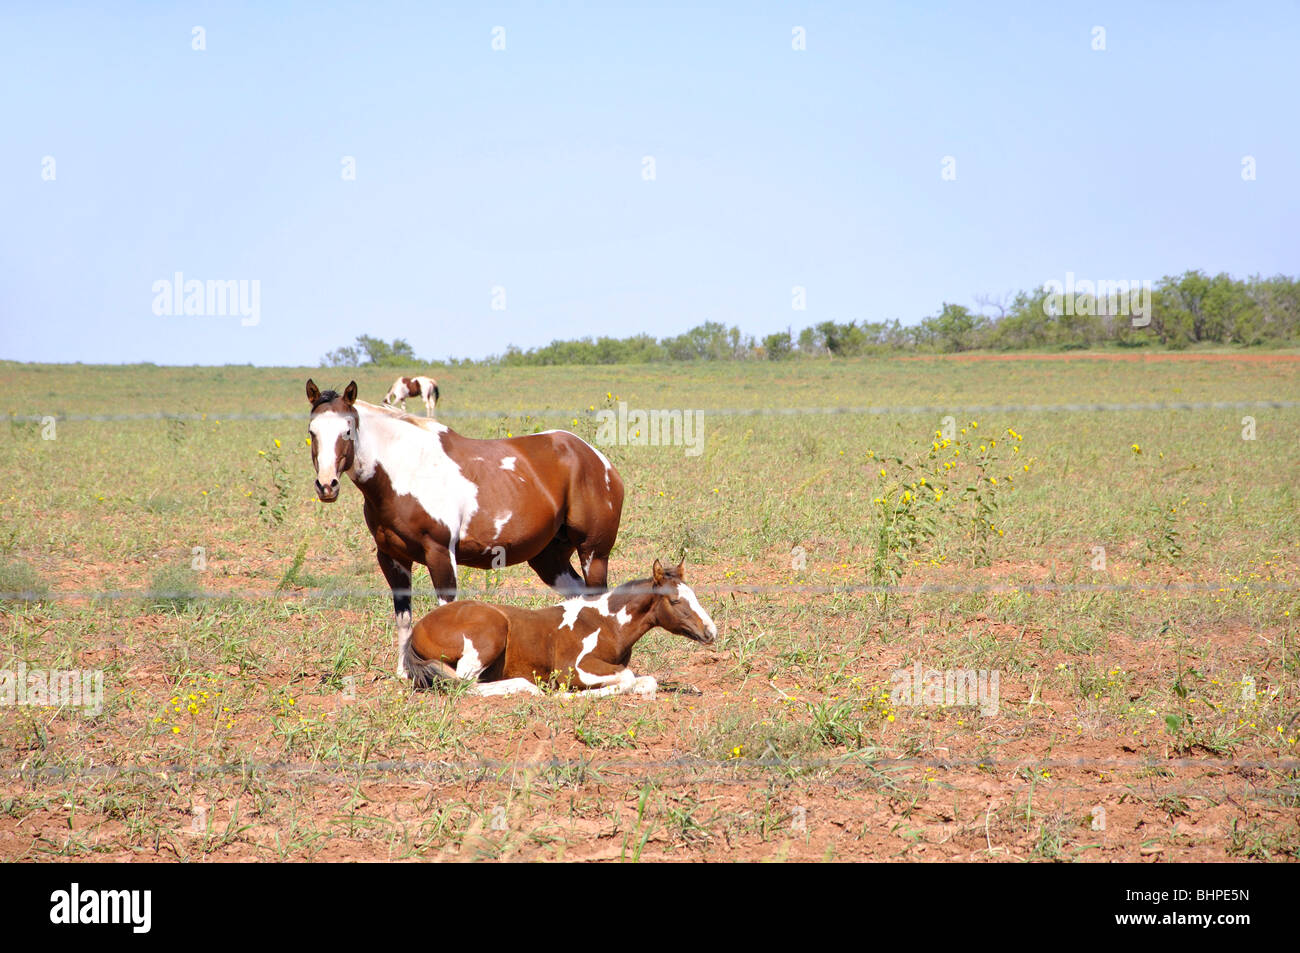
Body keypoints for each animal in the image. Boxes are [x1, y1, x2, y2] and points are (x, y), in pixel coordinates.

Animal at [305, 379, 625, 679]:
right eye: (312, 432)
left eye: (348, 429)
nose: (326, 485)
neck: (408, 470)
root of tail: (598, 459)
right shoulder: (392, 557)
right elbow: (404, 618)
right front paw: (405, 672)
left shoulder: (439, 553)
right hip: (549, 560)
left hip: (594, 552)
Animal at [405, 559, 717, 696]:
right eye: (675, 600)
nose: (710, 632)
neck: (606, 623)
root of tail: (418, 629)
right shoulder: (572, 667)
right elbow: (627, 678)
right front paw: (570, 694)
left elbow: (646, 680)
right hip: (490, 634)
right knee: (464, 685)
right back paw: (528, 688)